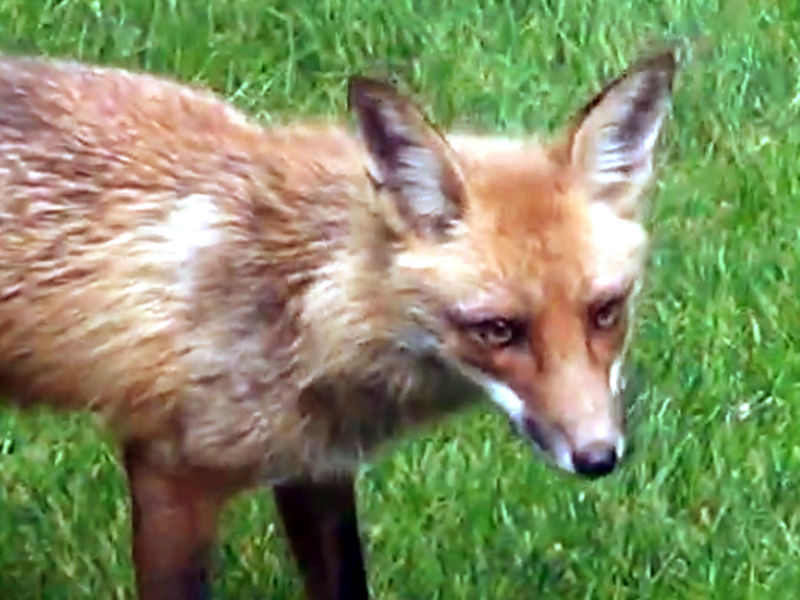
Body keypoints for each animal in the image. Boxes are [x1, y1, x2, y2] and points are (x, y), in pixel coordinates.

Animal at [0, 50, 675, 600]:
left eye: (606, 312)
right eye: (498, 329)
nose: (599, 457)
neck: (306, 304)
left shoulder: (316, 468)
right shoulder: (167, 468)